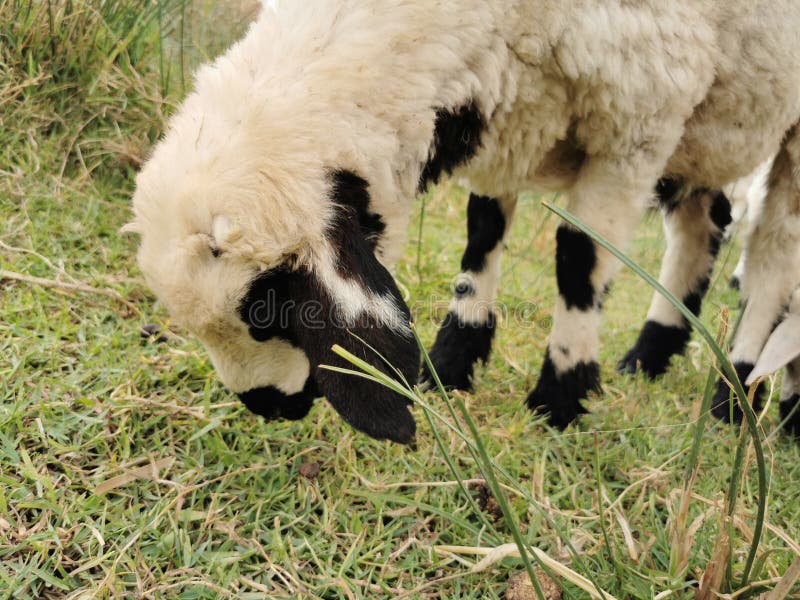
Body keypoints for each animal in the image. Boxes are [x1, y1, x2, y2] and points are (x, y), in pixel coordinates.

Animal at [129, 0, 800, 443]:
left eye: (267, 313)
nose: (267, 407)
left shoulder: (638, 117)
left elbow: (578, 257)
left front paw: (560, 395)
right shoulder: (515, 106)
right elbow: (483, 230)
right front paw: (453, 360)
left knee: (773, 260)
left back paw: (739, 391)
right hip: (710, 130)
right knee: (705, 224)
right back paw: (654, 356)